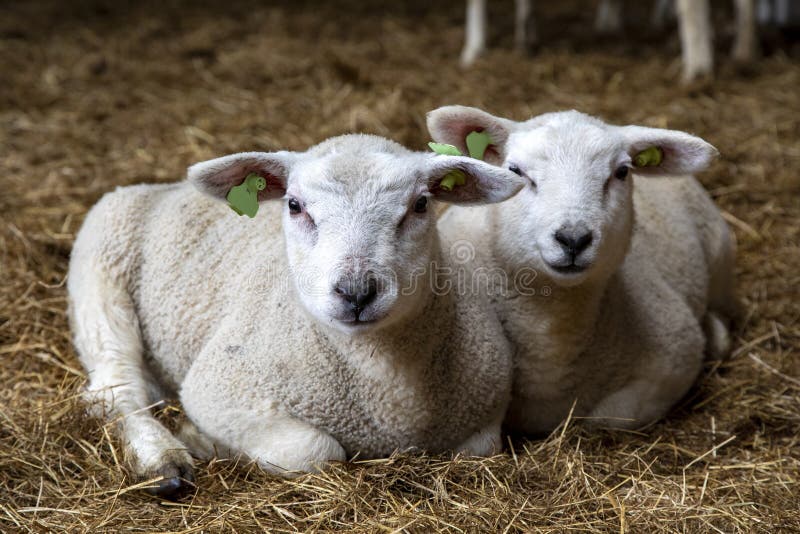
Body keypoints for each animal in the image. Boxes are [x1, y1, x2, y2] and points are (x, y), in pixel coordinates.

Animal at [68, 134, 525, 497]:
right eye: (294, 205)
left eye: (421, 204)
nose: (355, 292)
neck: (386, 389)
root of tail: (165, 186)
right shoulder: (219, 389)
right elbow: (316, 452)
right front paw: (202, 439)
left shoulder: (485, 419)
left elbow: (477, 449)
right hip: (101, 278)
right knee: (114, 390)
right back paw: (162, 461)